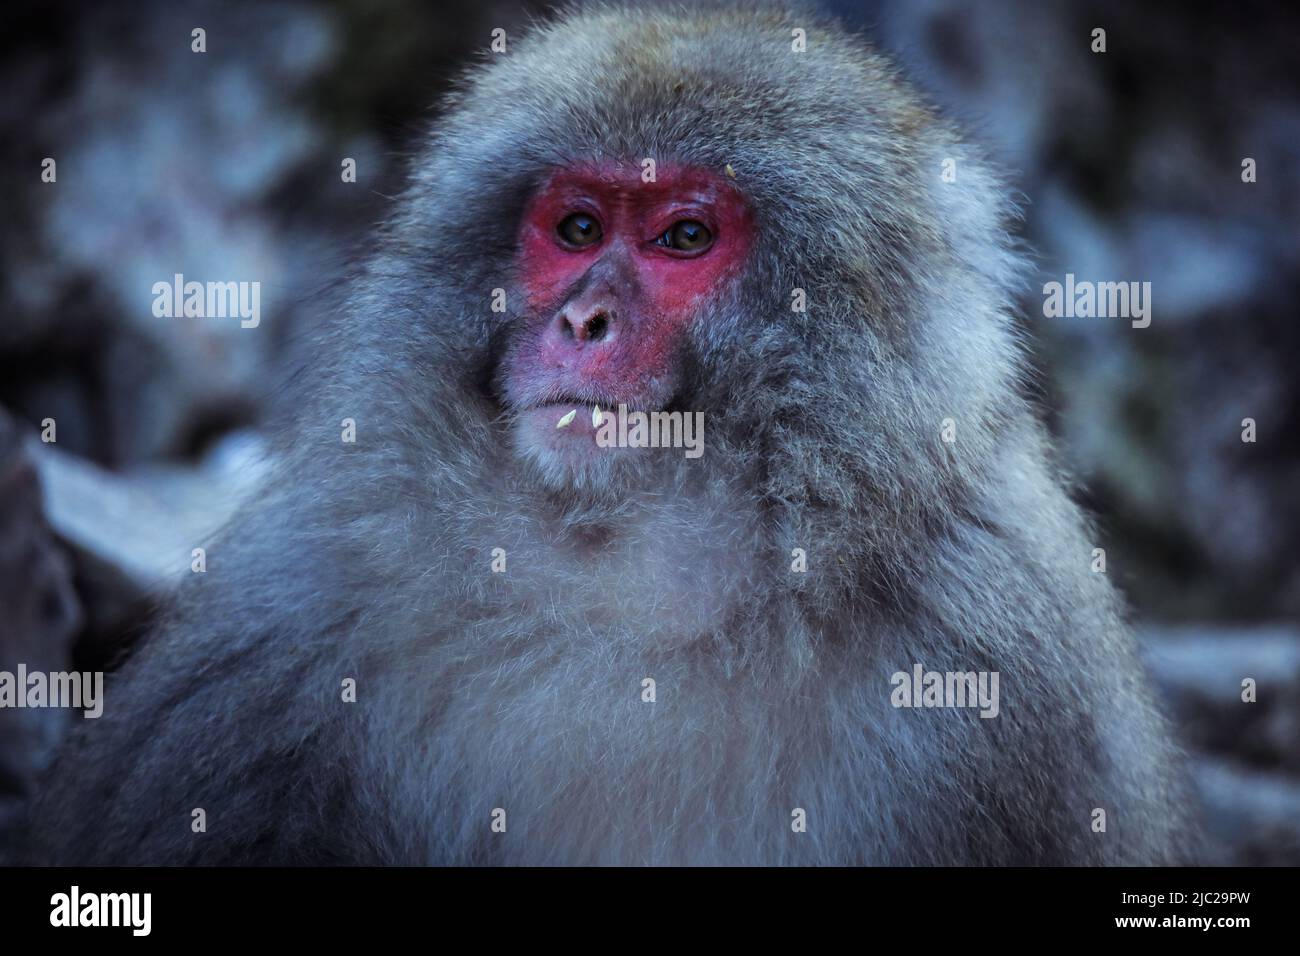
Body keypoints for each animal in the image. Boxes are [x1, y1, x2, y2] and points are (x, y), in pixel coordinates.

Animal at [26, 3, 1194, 866]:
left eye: (683, 237)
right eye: (578, 227)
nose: (581, 321)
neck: (628, 582)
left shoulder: (1000, 655)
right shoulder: (300, 592)